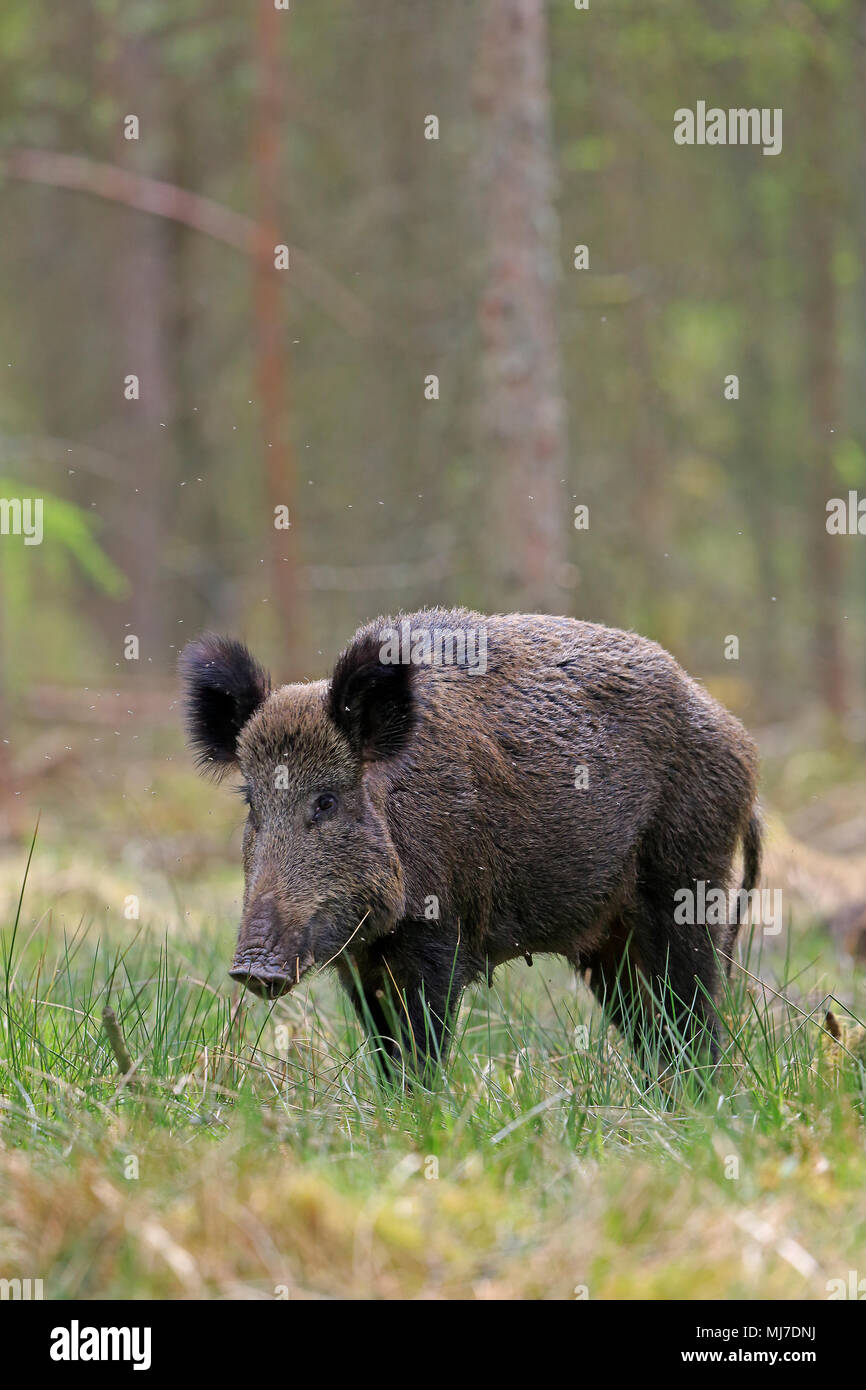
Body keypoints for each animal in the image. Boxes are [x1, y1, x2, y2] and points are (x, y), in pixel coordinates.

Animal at [180, 609, 761, 1081]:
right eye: (251, 803)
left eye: (325, 801)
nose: (253, 968)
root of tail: (740, 743)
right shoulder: (359, 964)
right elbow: (385, 1053)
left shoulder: (441, 933)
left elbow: (422, 1047)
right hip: (607, 939)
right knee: (650, 1026)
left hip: (688, 880)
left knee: (694, 1011)